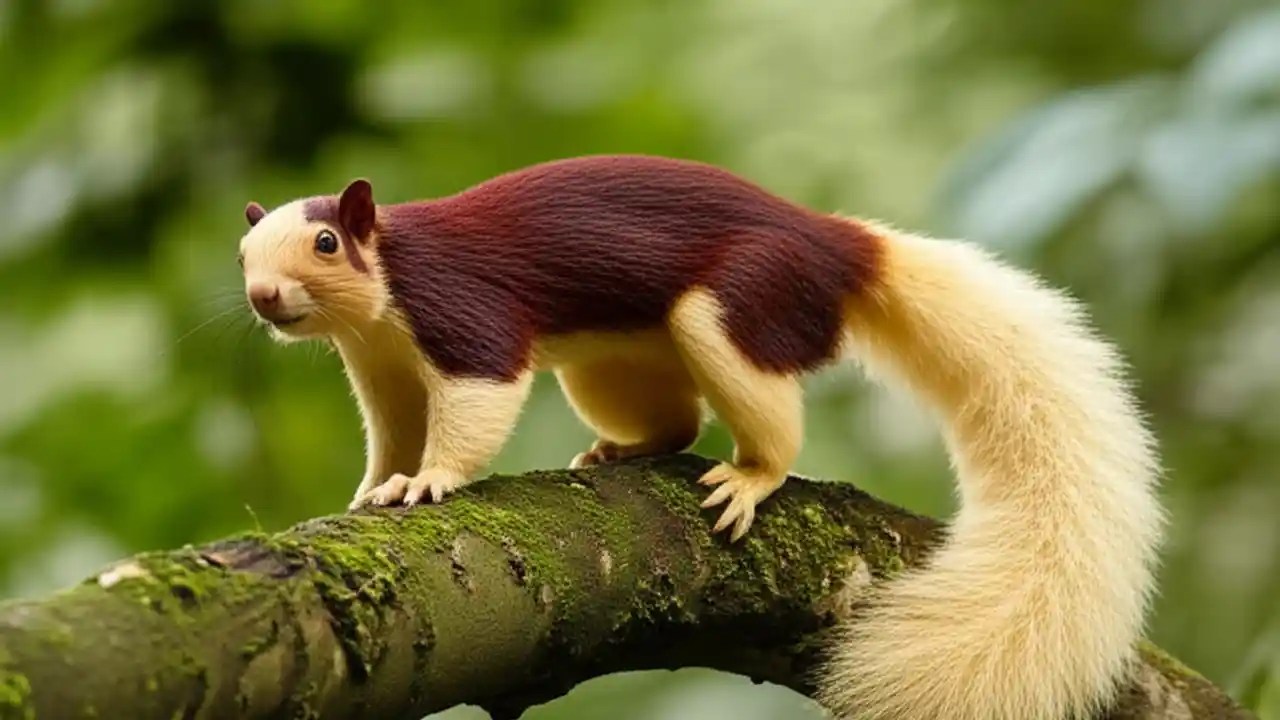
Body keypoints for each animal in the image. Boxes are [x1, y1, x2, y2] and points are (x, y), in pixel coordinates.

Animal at [238, 154, 1164, 720]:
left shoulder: (460, 313)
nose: (263, 297)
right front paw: (377, 490)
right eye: (244, 249)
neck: (384, 293)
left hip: (737, 302)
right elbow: (392, 434)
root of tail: (842, 251)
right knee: (674, 419)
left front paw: (429, 483)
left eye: (326, 241)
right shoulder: (379, 364)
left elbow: (472, 407)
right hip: (614, 357)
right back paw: (621, 450)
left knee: (761, 411)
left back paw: (750, 477)